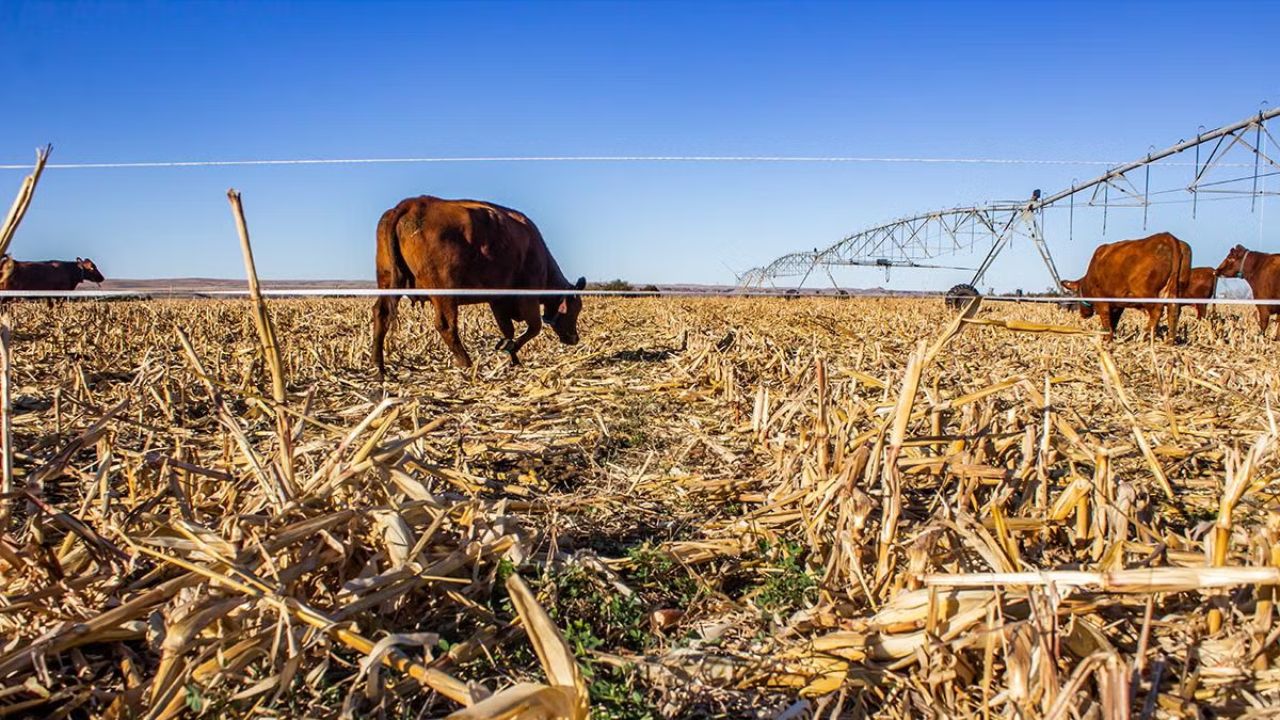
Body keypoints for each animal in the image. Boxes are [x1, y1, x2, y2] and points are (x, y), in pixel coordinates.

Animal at [371, 196, 585, 376]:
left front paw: (512, 357)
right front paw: (511, 349)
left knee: (381, 314)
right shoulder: (527, 298)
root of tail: (413, 203)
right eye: (575, 309)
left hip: (388, 281)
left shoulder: (498, 301)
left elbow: (508, 330)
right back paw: (467, 363)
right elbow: (534, 327)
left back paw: (379, 367)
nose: (574, 338)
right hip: (444, 292)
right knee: (446, 326)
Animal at [1060, 232, 1191, 342]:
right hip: (1178, 287)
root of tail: (1168, 237)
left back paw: (1144, 336)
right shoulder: (1117, 304)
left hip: (1146, 293)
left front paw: (1106, 338)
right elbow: (1114, 322)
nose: (1083, 314)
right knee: (1174, 310)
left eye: (1076, 293)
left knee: (1157, 311)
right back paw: (1169, 341)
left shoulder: (1102, 300)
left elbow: (1106, 320)